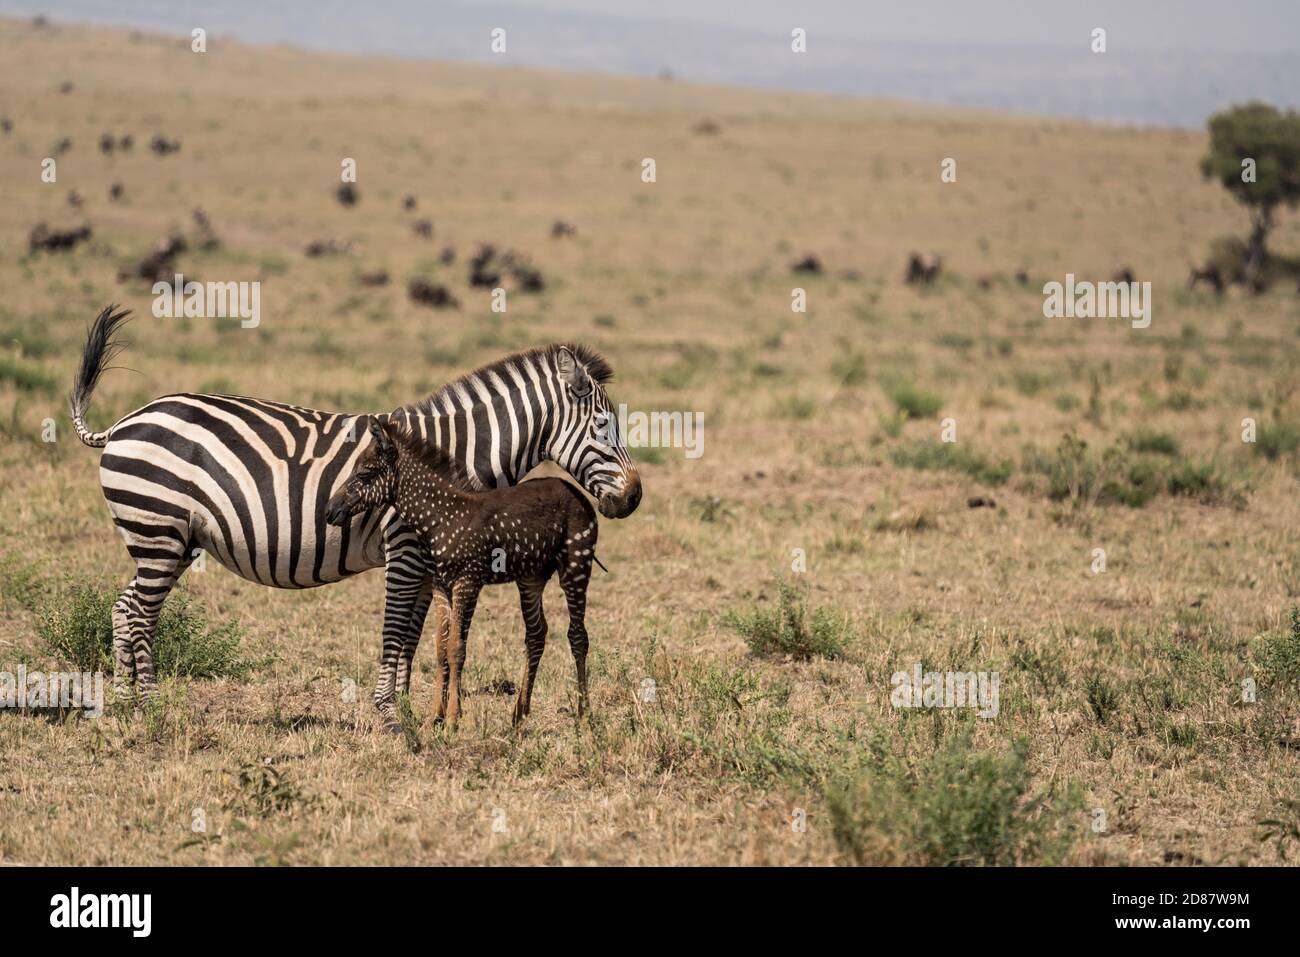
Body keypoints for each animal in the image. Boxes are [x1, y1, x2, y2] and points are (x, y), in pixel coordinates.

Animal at [69, 305, 642, 723]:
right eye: (604, 425)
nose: (634, 497)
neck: (452, 455)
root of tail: (123, 422)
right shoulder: (405, 551)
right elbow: (395, 630)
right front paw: (389, 714)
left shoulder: (429, 561)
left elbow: (417, 636)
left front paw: (410, 708)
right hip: (158, 533)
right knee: (140, 614)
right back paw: (147, 707)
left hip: (169, 540)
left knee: (125, 608)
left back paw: (125, 703)